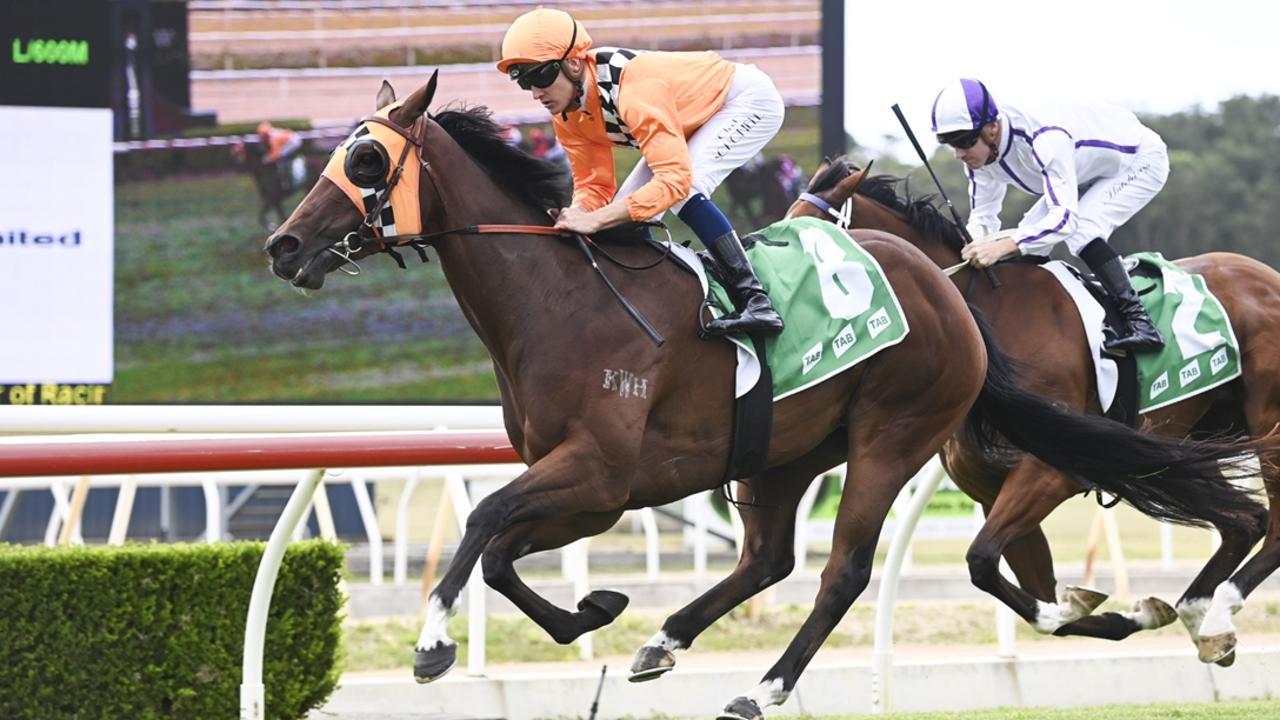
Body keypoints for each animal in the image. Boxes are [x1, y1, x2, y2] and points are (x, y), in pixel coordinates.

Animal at [787, 157, 1280, 666]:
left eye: (813, 237)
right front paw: (1117, 611)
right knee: (1244, 521)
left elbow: (982, 561)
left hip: (1267, 422)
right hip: (1187, 442)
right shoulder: (990, 489)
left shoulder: (1051, 472)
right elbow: (1028, 587)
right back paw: (1201, 616)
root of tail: (1266, 275)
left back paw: (1219, 611)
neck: (991, 317)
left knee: (1272, 527)